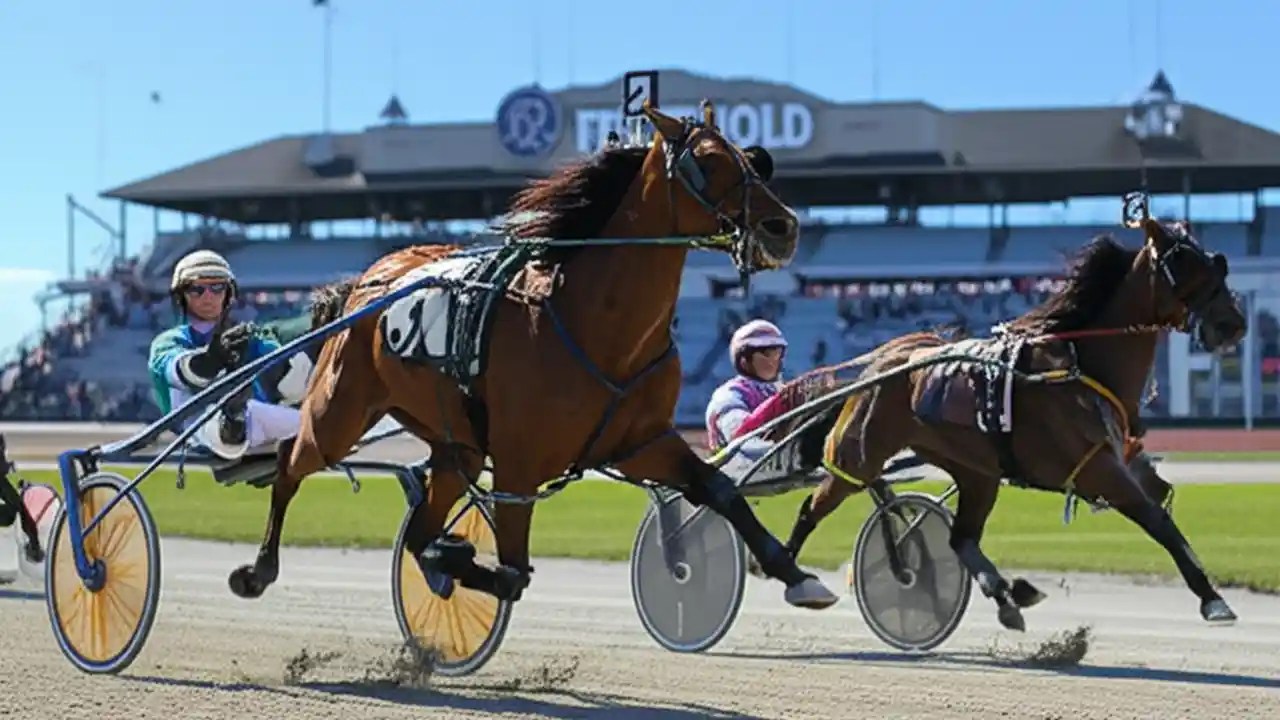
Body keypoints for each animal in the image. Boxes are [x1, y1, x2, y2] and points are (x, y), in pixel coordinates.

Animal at [224, 99, 839, 611]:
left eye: (753, 159)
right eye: (710, 161)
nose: (783, 227)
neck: (597, 323)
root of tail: (369, 278)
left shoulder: (643, 442)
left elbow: (721, 490)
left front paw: (797, 575)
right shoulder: (520, 459)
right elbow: (512, 571)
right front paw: (463, 558)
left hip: (459, 446)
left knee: (422, 519)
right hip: (339, 411)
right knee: (291, 465)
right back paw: (258, 570)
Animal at [755, 202, 1246, 631]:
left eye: (1213, 257)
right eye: (1184, 260)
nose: (1234, 322)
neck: (1082, 364)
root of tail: (883, 363)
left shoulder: (1124, 461)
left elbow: (1163, 504)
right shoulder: (1099, 469)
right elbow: (1157, 521)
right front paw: (1213, 600)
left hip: (977, 470)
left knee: (962, 539)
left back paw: (1008, 595)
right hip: (858, 457)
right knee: (813, 506)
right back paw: (789, 573)